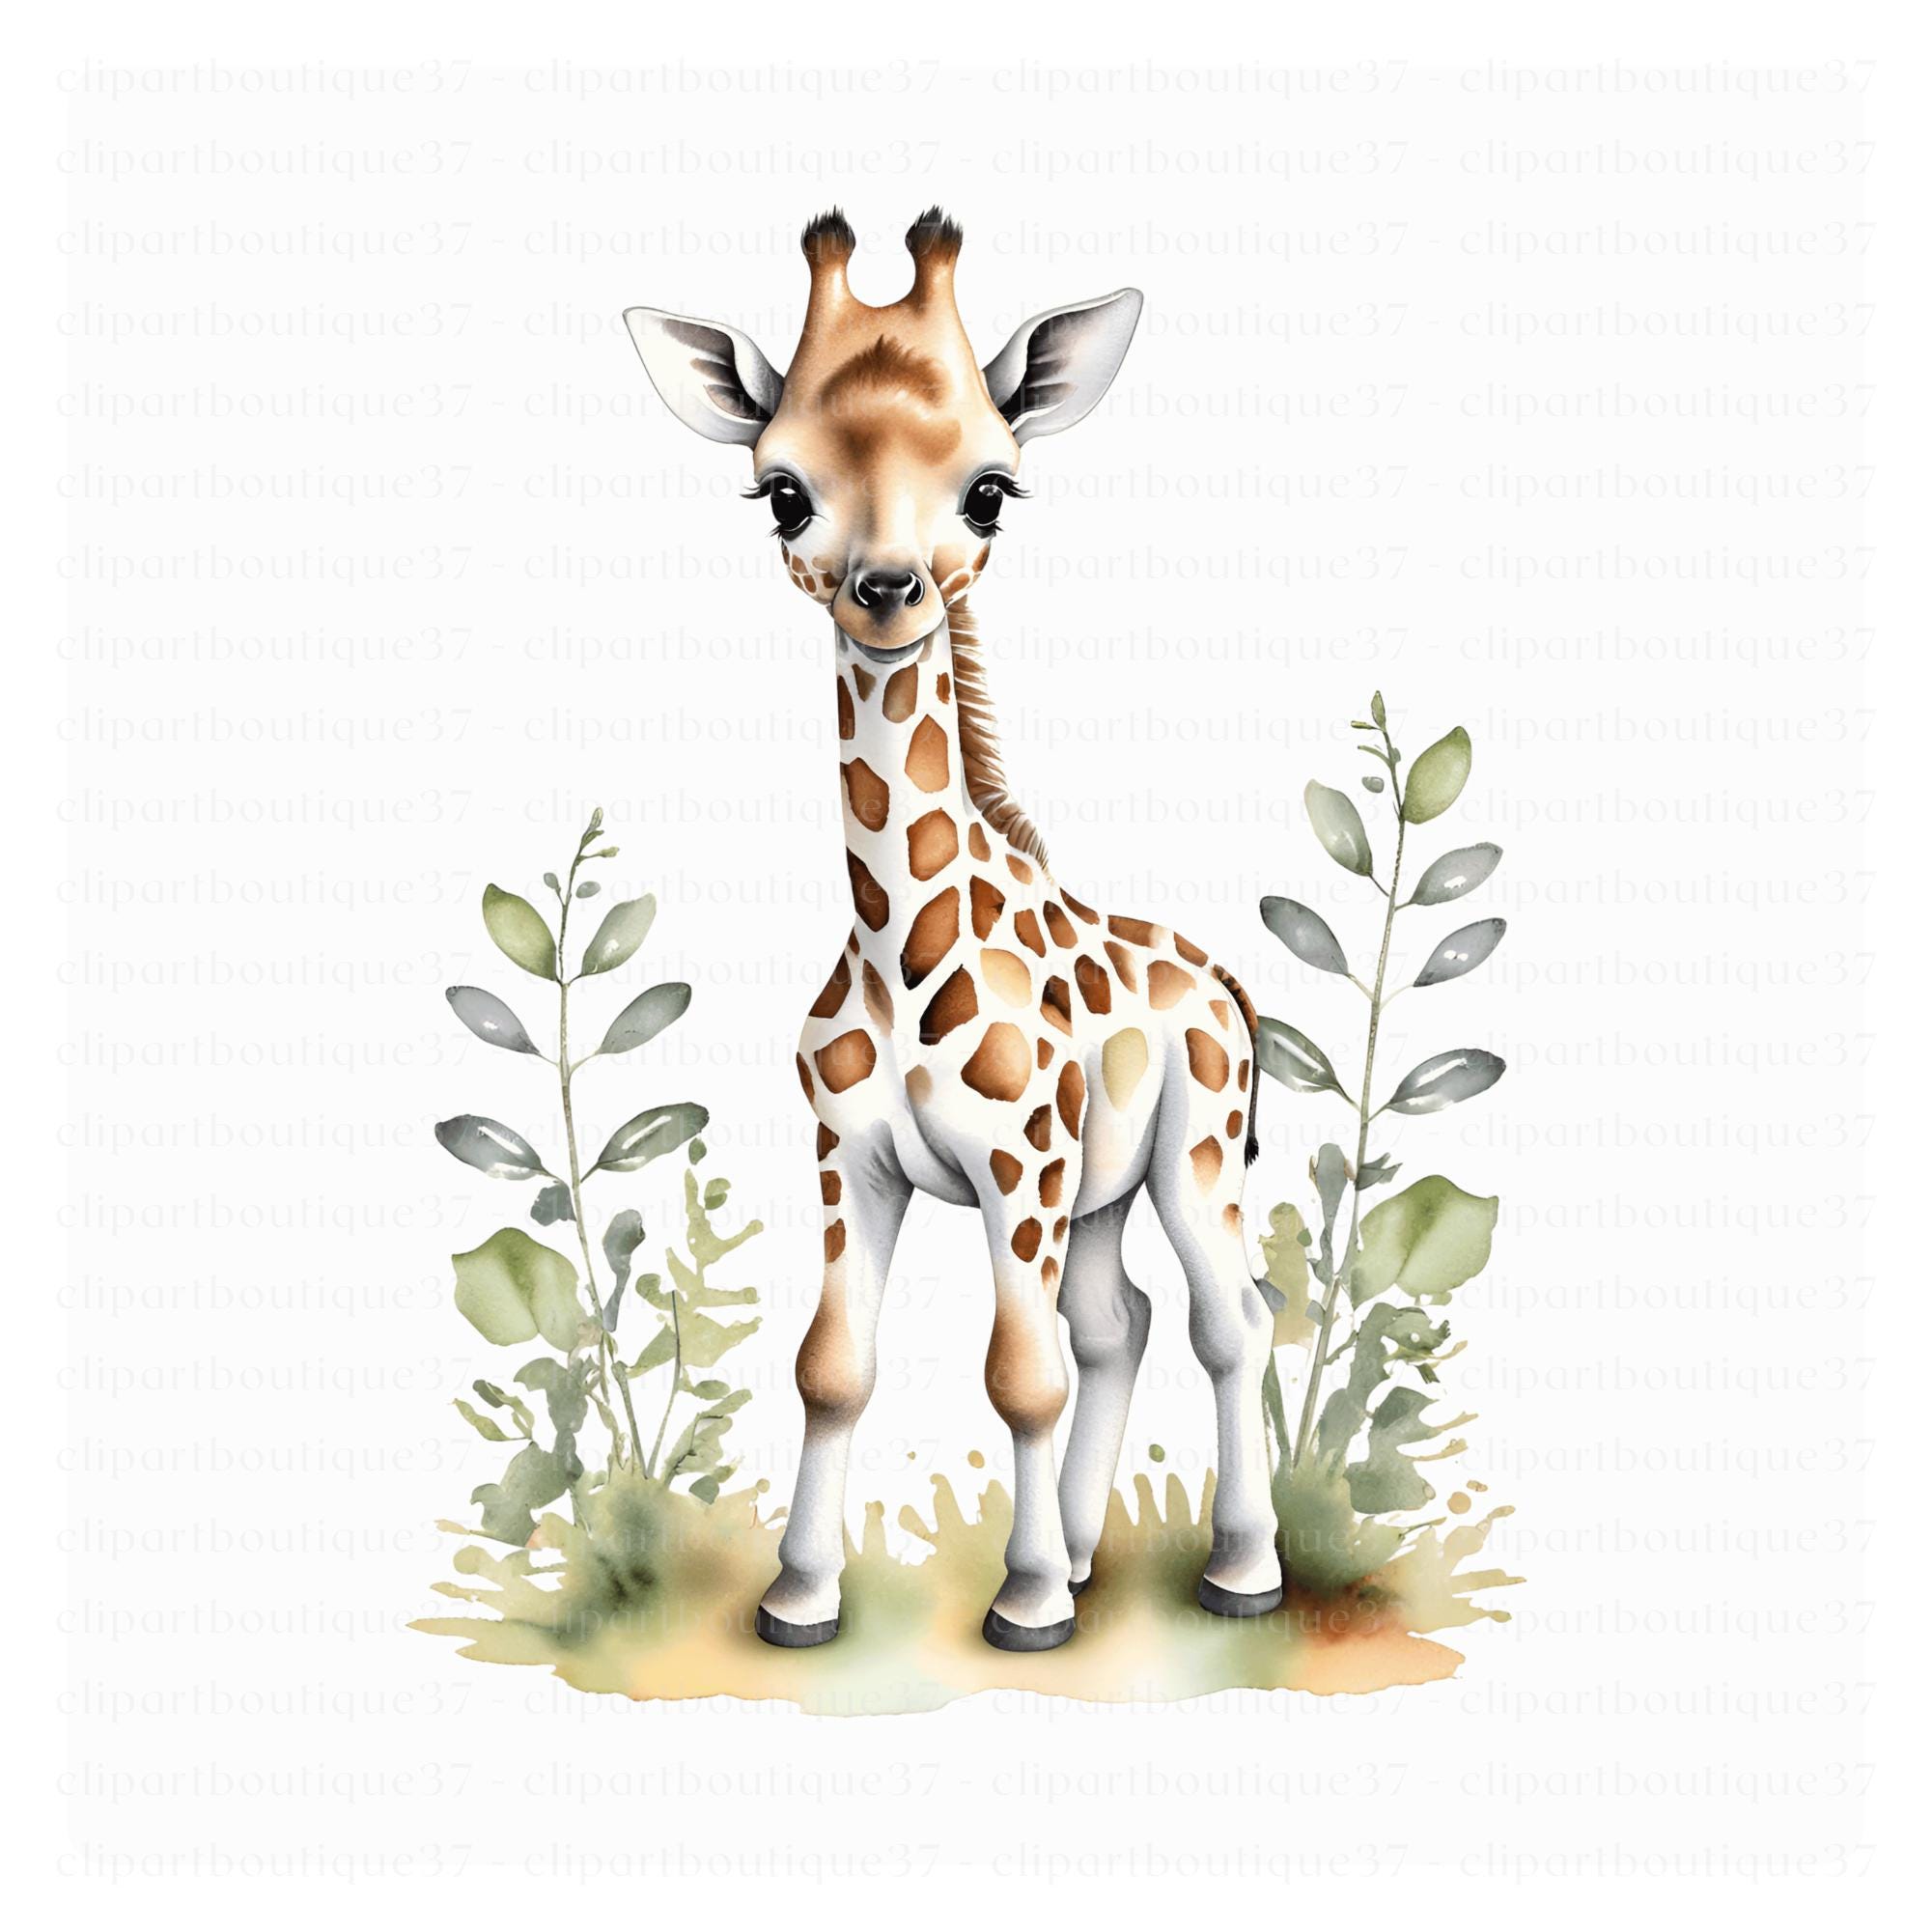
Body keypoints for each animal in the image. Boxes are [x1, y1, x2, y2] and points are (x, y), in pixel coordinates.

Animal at [625, 208, 1281, 1652]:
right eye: (782, 489)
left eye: (990, 488)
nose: (886, 592)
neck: (895, 952)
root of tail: (1225, 983)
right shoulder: (851, 1162)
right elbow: (833, 1367)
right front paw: (801, 1596)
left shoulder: (1015, 1166)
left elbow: (1017, 1375)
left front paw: (1023, 1604)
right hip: (1101, 1191)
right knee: (1118, 1320)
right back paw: (1089, 1554)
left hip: (1191, 1157)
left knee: (1231, 1320)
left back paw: (1237, 1569)